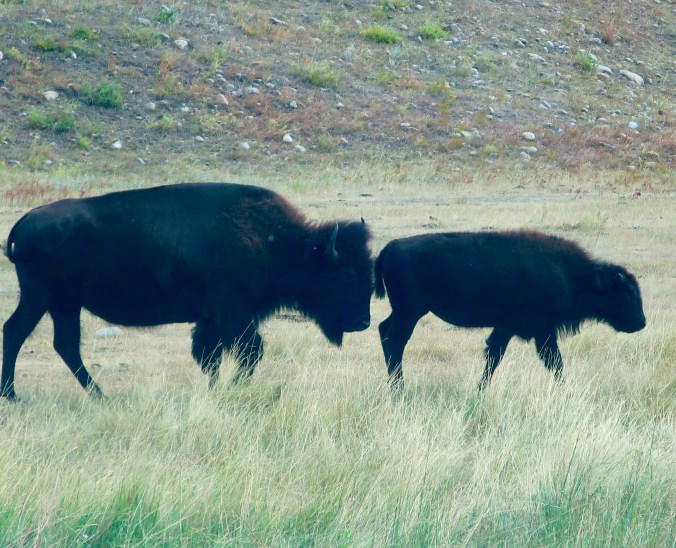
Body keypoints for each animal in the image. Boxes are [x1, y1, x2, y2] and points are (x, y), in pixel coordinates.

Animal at [2, 183, 373, 400]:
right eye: (348, 273)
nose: (363, 322)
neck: (277, 243)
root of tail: (24, 222)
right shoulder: (232, 314)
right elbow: (249, 351)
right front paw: (231, 388)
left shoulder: (213, 320)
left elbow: (210, 355)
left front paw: (215, 388)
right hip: (45, 297)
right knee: (23, 332)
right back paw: (18, 394)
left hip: (60, 302)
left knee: (56, 342)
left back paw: (94, 395)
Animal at [374, 230, 646, 389]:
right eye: (627, 292)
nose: (641, 322)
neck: (572, 274)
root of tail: (391, 246)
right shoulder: (542, 330)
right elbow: (554, 362)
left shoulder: (506, 328)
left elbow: (493, 357)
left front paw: (480, 389)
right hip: (410, 312)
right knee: (395, 340)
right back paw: (398, 389)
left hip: (404, 312)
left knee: (384, 331)